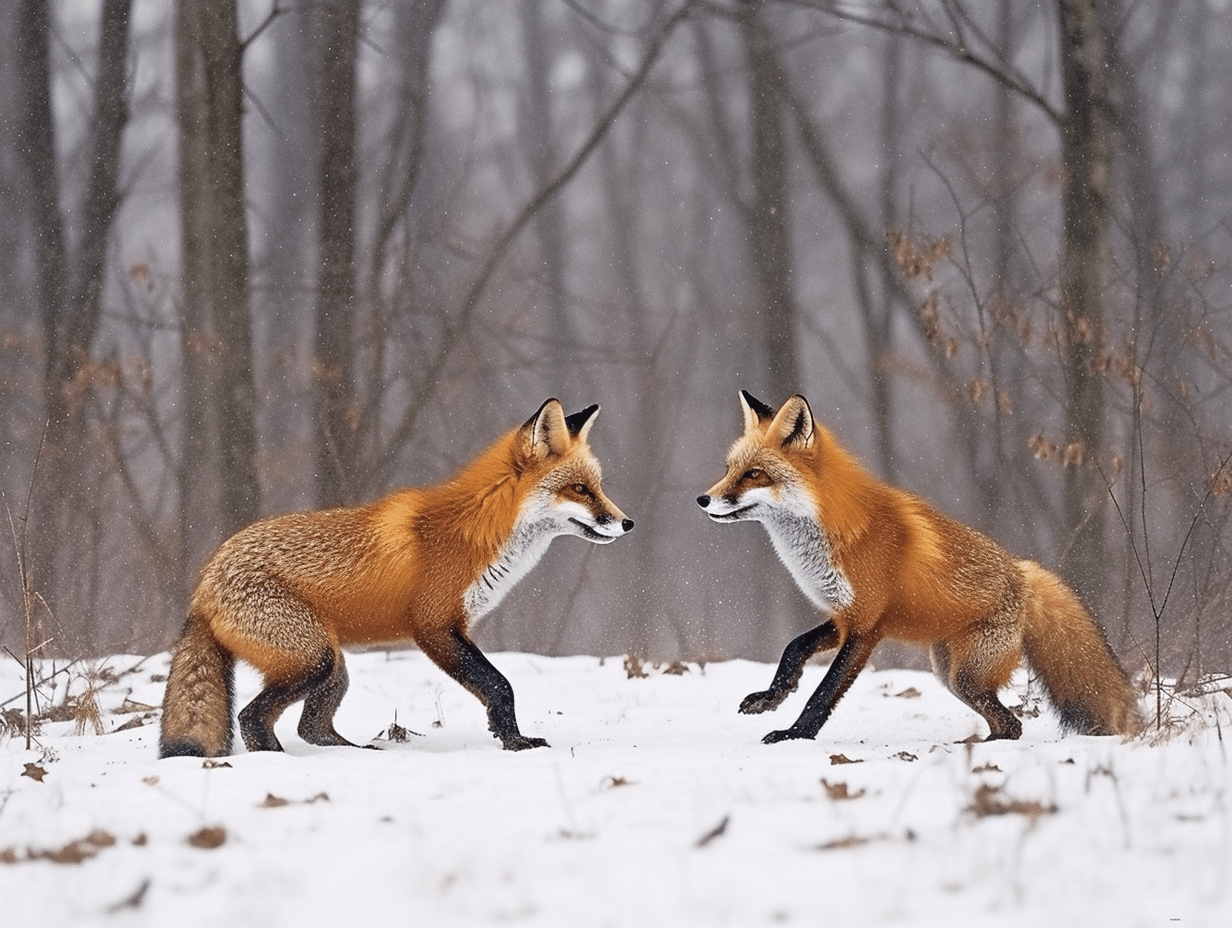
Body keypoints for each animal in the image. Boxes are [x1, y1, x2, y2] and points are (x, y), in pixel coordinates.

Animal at [159, 398, 633, 758]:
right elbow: (501, 686)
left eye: (598, 487)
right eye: (579, 489)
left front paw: (509, 738)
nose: (627, 523)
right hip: (314, 659)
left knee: (311, 727)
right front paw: (516, 743)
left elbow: (498, 688)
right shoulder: (435, 625)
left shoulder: (450, 628)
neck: (479, 530)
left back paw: (356, 751)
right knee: (250, 717)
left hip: (332, 667)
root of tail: (202, 585)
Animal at [697, 390, 1143, 744]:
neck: (832, 532)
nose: (703, 499)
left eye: (755, 474)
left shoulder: (867, 627)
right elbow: (794, 647)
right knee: (1008, 724)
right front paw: (773, 696)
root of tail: (1022, 572)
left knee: (1013, 726)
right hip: (949, 672)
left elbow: (823, 693)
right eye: (728, 470)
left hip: (965, 675)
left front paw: (795, 735)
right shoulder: (846, 615)